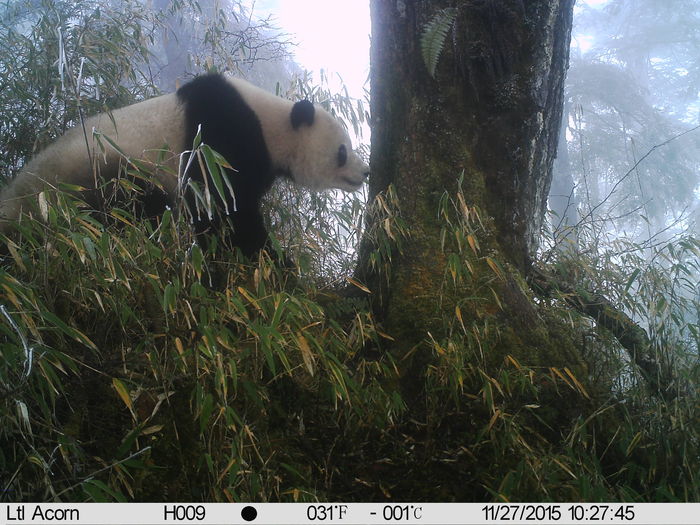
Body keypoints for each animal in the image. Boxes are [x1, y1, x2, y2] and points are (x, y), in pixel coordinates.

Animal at [0, 74, 369, 257]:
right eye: (342, 151)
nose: (365, 172)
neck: (271, 124)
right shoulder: (221, 138)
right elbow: (221, 209)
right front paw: (273, 262)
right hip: (98, 174)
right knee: (128, 212)